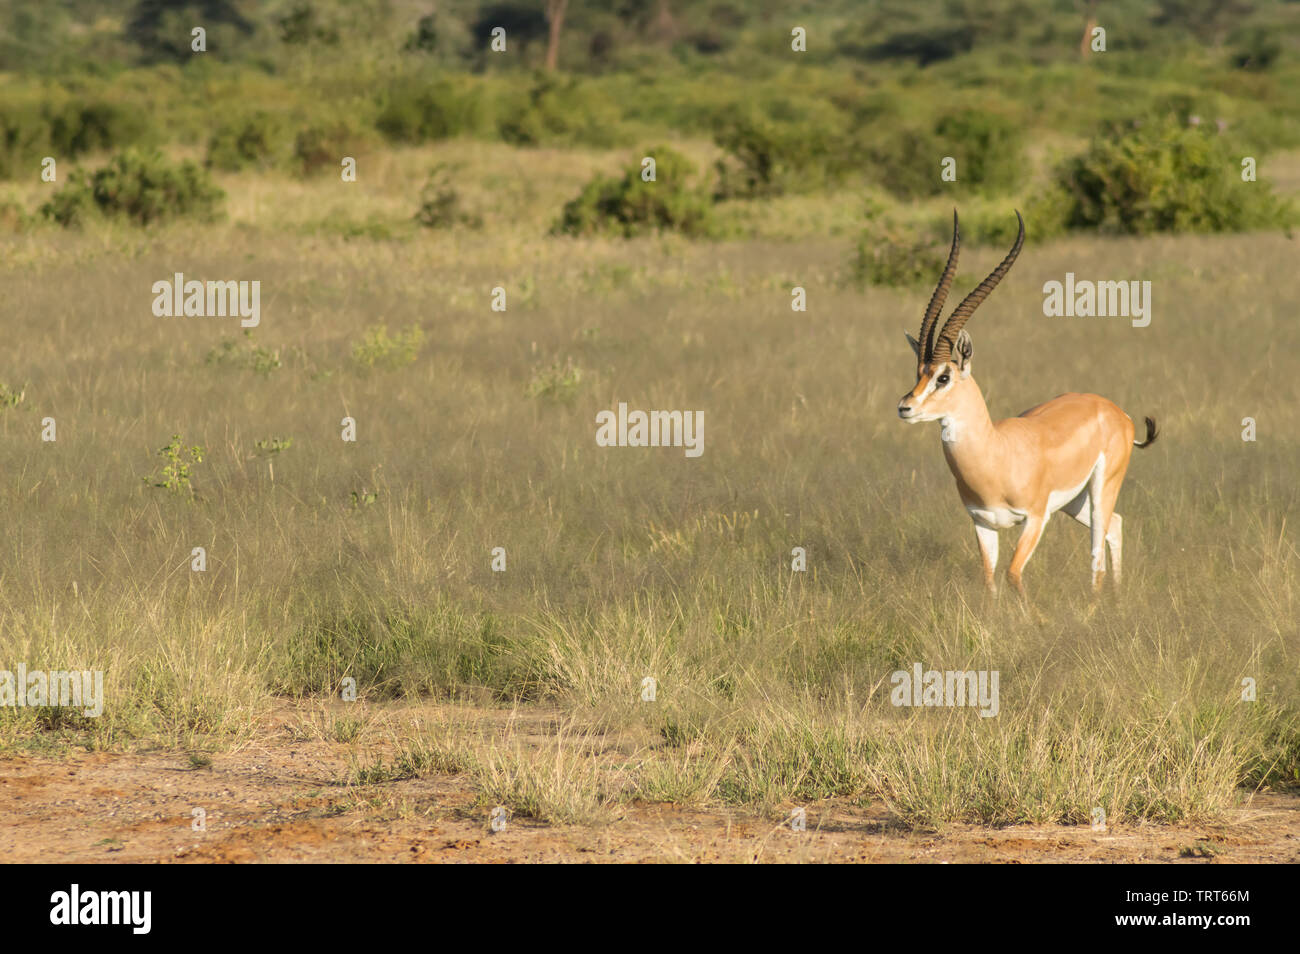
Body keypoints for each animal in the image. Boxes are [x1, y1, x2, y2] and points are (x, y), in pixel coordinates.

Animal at [896, 211, 1158, 597]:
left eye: (943, 377)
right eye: (918, 373)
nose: (905, 407)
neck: (996, 454)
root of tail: (1114, 410)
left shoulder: (1035, 518)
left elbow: (1013, 574)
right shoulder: (982, 524)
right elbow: (990, 581)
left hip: (1101, 488)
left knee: (1097, 550)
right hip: (1075, 502)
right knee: (1116, 525)